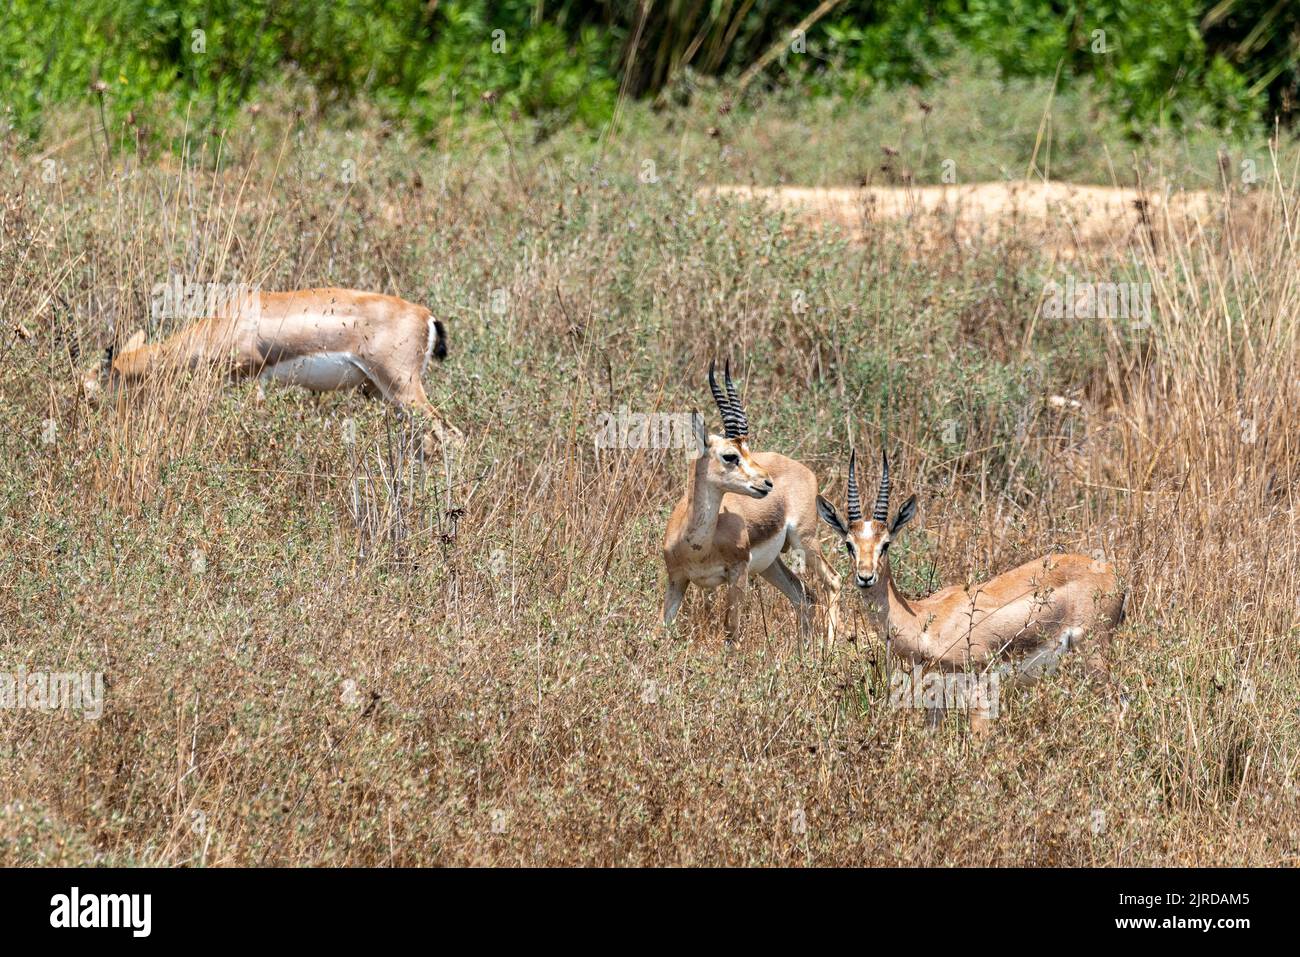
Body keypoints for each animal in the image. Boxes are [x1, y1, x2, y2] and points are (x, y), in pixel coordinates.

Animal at [81, 287, 461, 448]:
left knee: (450, 435)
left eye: (91, 388)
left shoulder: (249, 379)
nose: (85, 416)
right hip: (382, 393)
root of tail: (426, 316)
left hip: (403, 388)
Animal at [662, 361, 840, 644]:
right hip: (771, 565)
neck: (698, 545)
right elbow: (661, 630)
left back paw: (830, 646)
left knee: (832, 581)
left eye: (747, 450)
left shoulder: (738, 573)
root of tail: (805, 470)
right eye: (730, 455)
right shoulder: (676, 580)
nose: (767, 483)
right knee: (803, 596)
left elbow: (731, 632)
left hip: (805, 541)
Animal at [817, 447, 1125, 693]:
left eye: (886, 544)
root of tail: (1112, 575)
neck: (924, 619)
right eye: (849, 544)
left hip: (1095, 658)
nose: (865, 577)